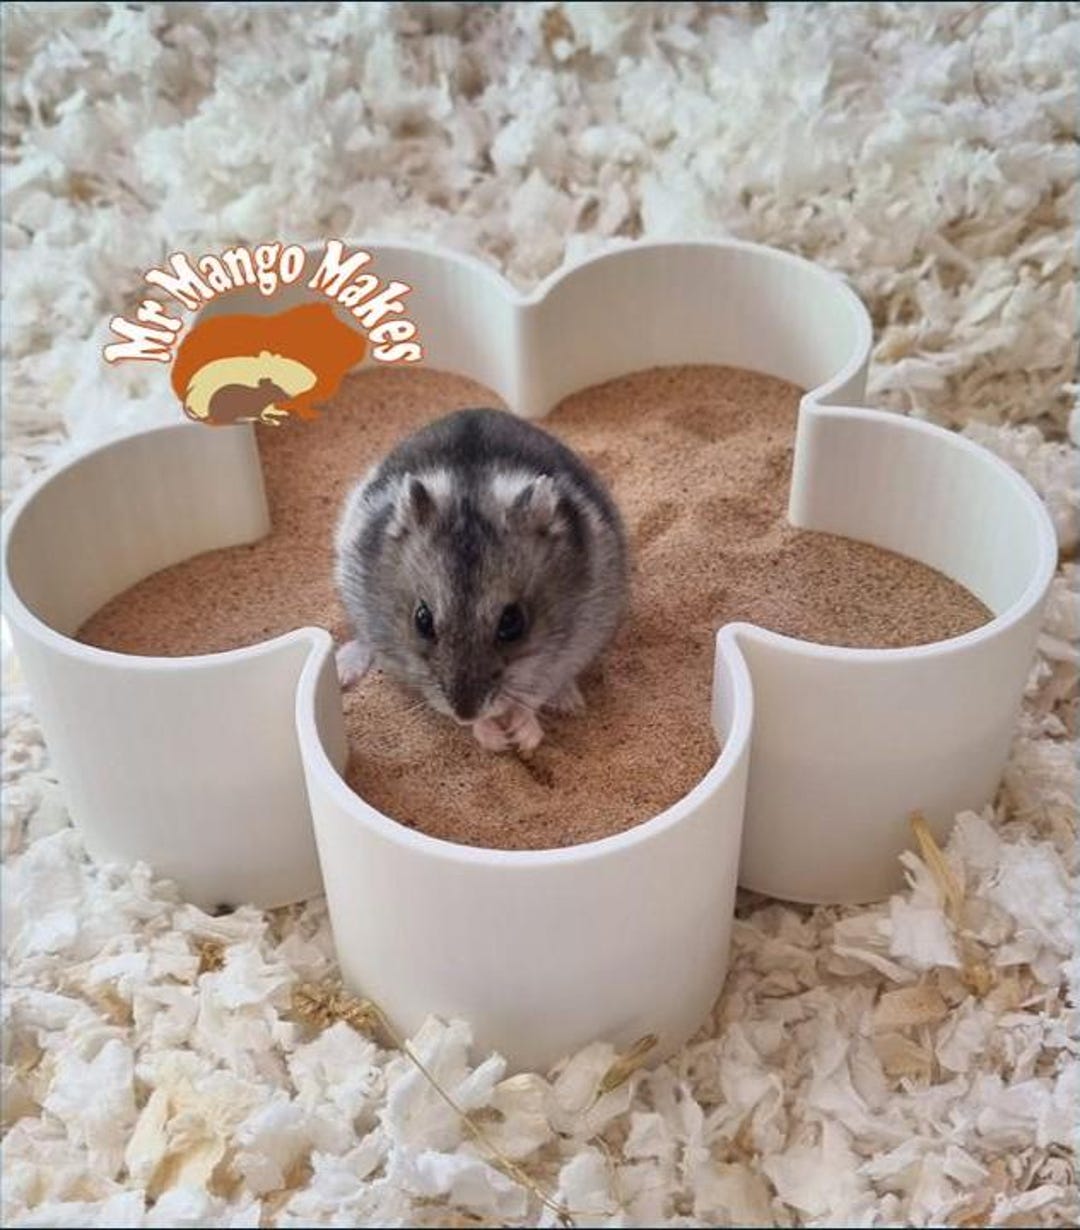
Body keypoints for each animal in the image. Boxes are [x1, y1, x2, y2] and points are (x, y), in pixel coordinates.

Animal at [334, 407, 628, 752]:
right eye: (422, 620)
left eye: (513, 622)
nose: (465, 714)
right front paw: (496, 740)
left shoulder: (572, 645)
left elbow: (533, 695)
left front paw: (522, 739)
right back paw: (343, 671)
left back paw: (569, 702)